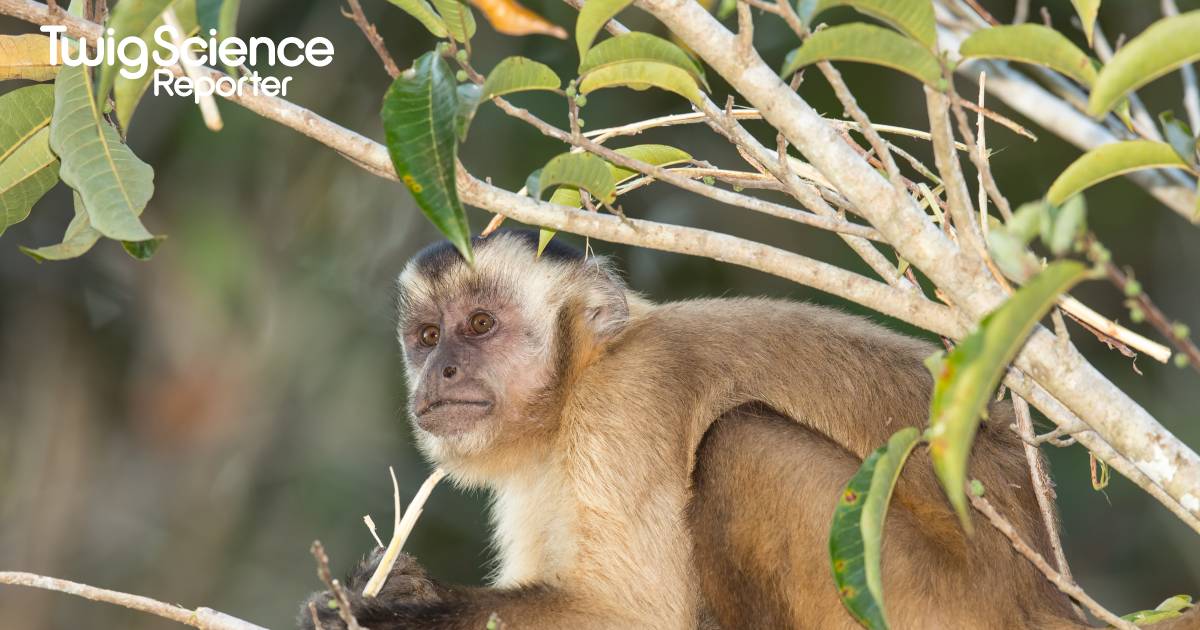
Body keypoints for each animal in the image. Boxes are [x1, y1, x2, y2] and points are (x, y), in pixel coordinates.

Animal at [299, 230, 1197, 629]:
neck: (579, 377)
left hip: (940, 608)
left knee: (738, 444)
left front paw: (400, 609)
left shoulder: (628, 399)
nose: (441, 372)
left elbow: (634, 616)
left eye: (481, 326)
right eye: (426, 337)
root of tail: (1052, 603)